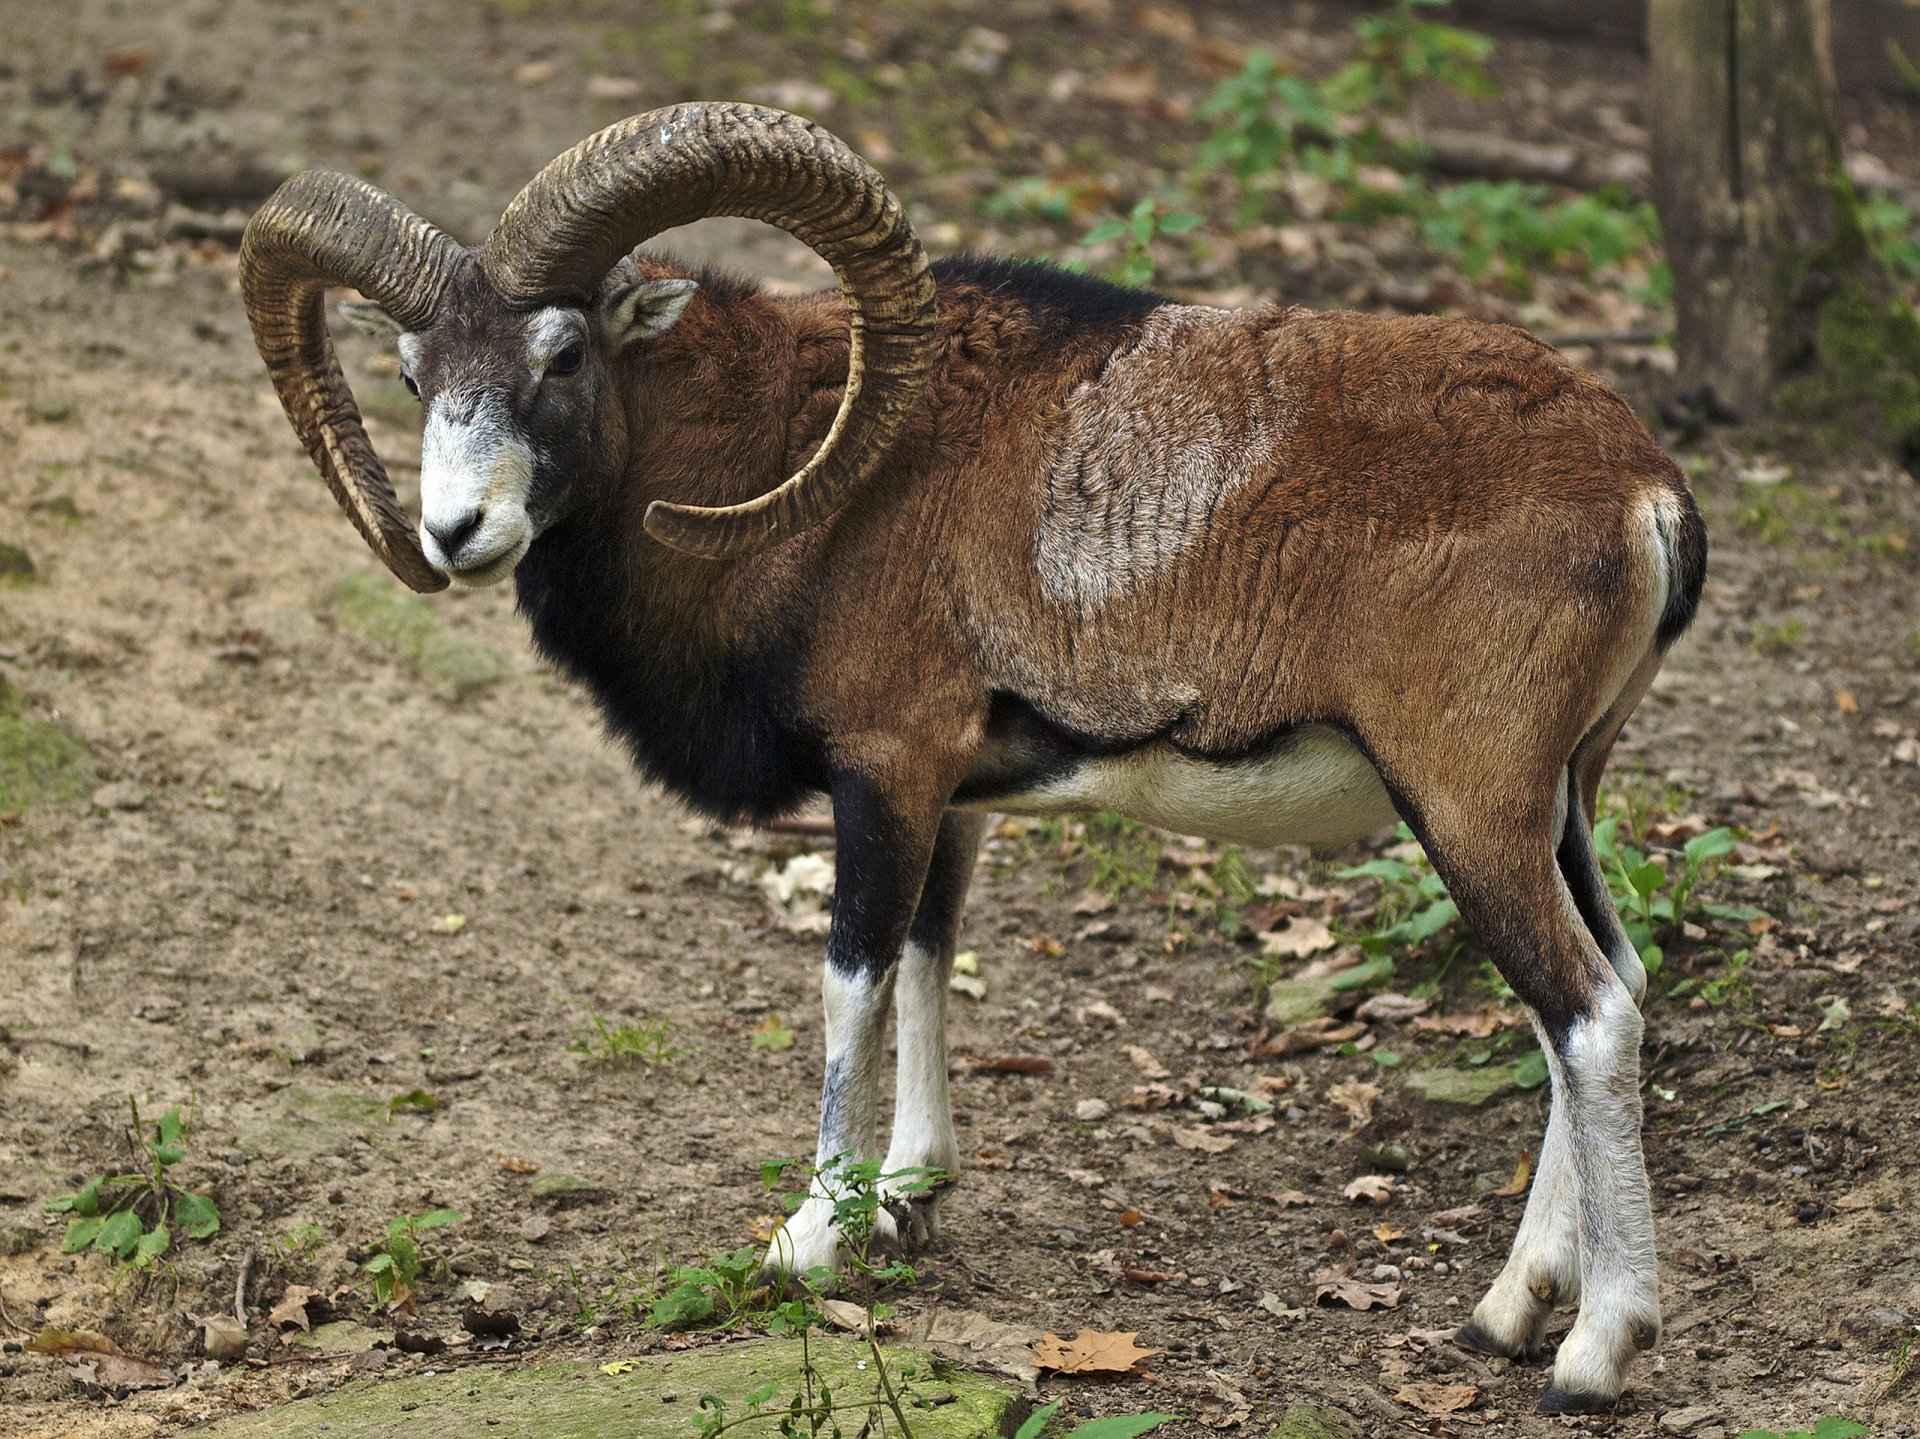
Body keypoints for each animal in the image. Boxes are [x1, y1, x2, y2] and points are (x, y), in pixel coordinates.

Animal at [240, 102, 1705, 1414]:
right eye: (417, 374)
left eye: (562, 352)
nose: (453, 533)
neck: (814, 468)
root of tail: (1646, 493)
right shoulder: (951, 798)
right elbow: (930, 962)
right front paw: (910, 1197)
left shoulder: (885, 770)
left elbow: (853, 979)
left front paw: (810, 1238)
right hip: (1557, 805)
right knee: (1602, 991)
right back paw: (1506, 1311)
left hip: (1466, 806)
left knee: (1588, 1013)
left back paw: (1591, 1354)